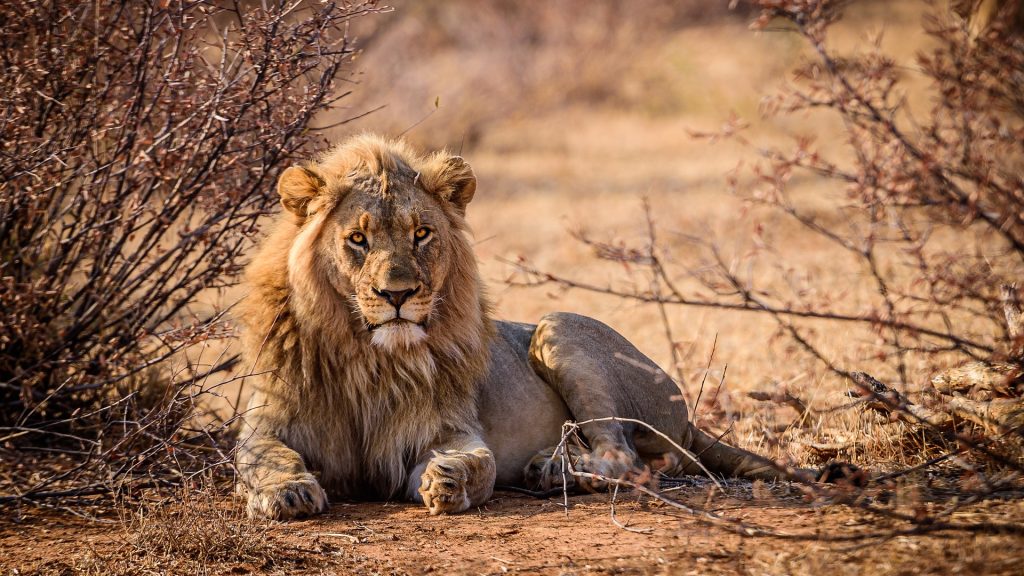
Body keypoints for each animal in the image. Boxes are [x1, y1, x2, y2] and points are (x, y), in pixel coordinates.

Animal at [235, 134, 850, 519]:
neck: (367, 354)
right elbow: (263, 458)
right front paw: (289, 492)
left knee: (629, 460)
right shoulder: (266, 422)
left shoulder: (445, 428)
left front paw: (448, 481)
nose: (398, 295)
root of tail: (687, 413)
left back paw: (552, 470)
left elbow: (476, 462)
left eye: (421, 234)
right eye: (358, 239)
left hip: (559, 329)